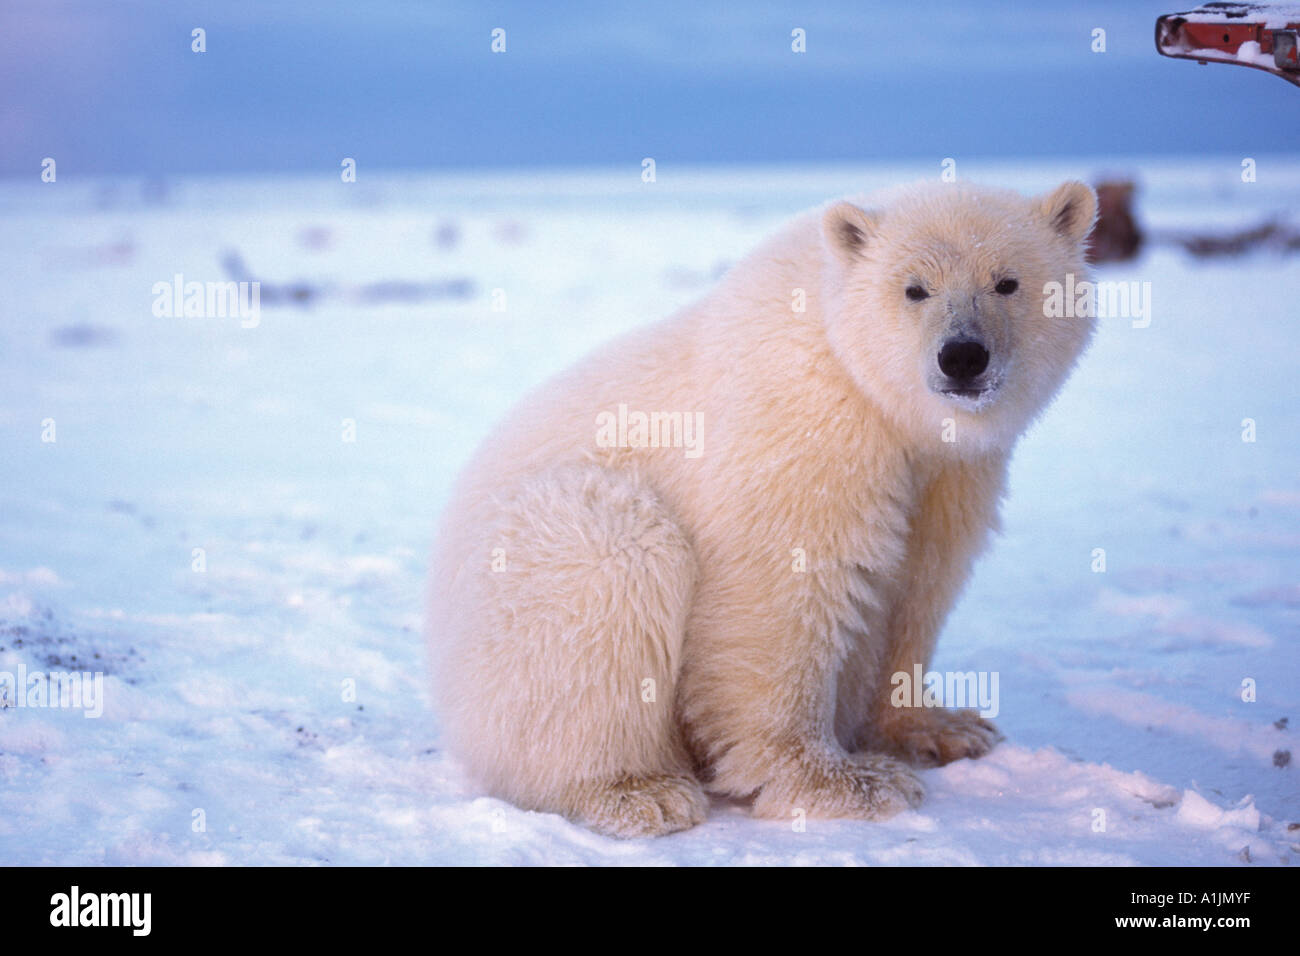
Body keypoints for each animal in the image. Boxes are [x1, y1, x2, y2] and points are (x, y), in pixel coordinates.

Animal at [427, 180, 1098, 837]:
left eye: (1007, 281)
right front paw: (848, 783)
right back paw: (636, 791)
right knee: (613, 559)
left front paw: (945, 728)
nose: (962, 356)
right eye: (914, 288)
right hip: (526, 581)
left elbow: (919, 583)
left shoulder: (950, 472)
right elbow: (784, 589)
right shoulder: (806, 421)